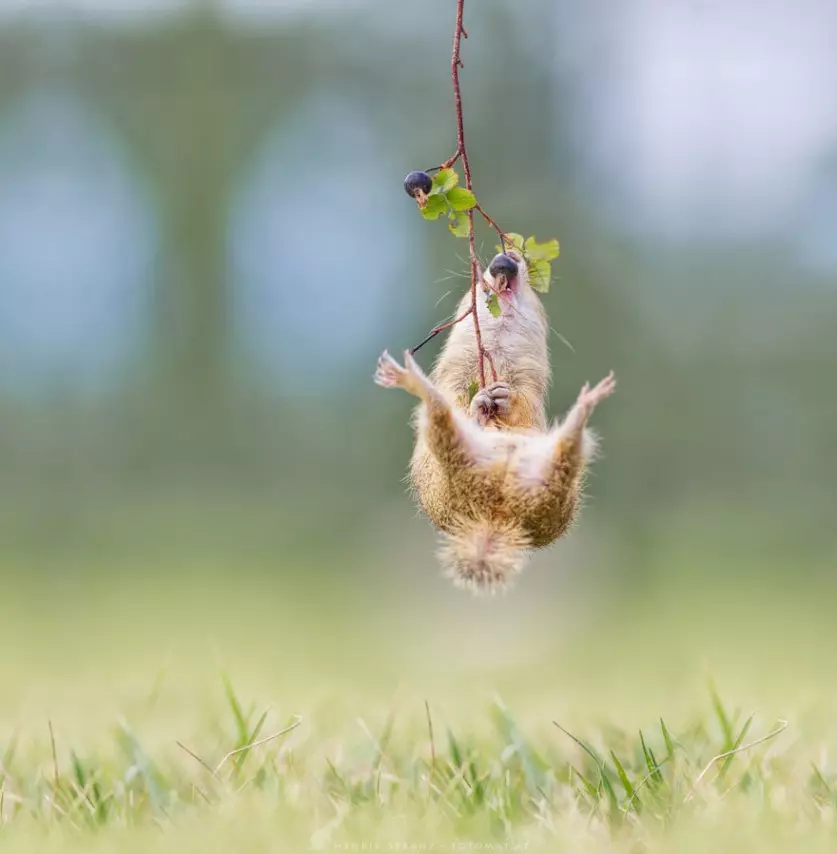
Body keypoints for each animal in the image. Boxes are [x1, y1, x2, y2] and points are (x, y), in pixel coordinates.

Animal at [374, 247, 612, 596]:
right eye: (476, 286)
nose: (505, 259)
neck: (495, 353)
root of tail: (493, 515)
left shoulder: (530, 383)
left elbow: (525, 405)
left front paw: (505, 398)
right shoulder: (455, 374)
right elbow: (456, 395)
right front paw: (480, 401)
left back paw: (588, 401)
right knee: (440, 407)